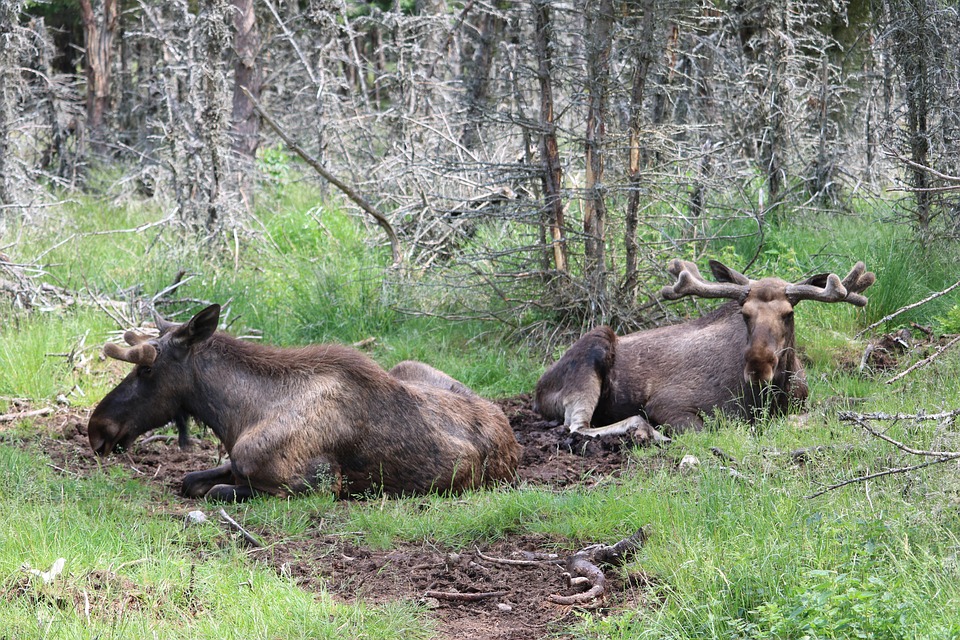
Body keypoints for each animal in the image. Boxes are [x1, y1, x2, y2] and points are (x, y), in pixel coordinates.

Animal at [88, 304, 521, 501]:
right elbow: (191, 480)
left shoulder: (312, 485)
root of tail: (513, 439)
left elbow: (214, 491)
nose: (97, 429)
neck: (237, 417)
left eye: (146, 369)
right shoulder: (236, 462)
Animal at [534, 259, 875, 442]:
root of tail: (538, 391)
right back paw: (643, 430)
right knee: (577, 427)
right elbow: (710, 431)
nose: (758, 366)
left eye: (788, 313)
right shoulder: (667, 404)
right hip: (595, 343)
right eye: (744, 313)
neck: (769, 395)